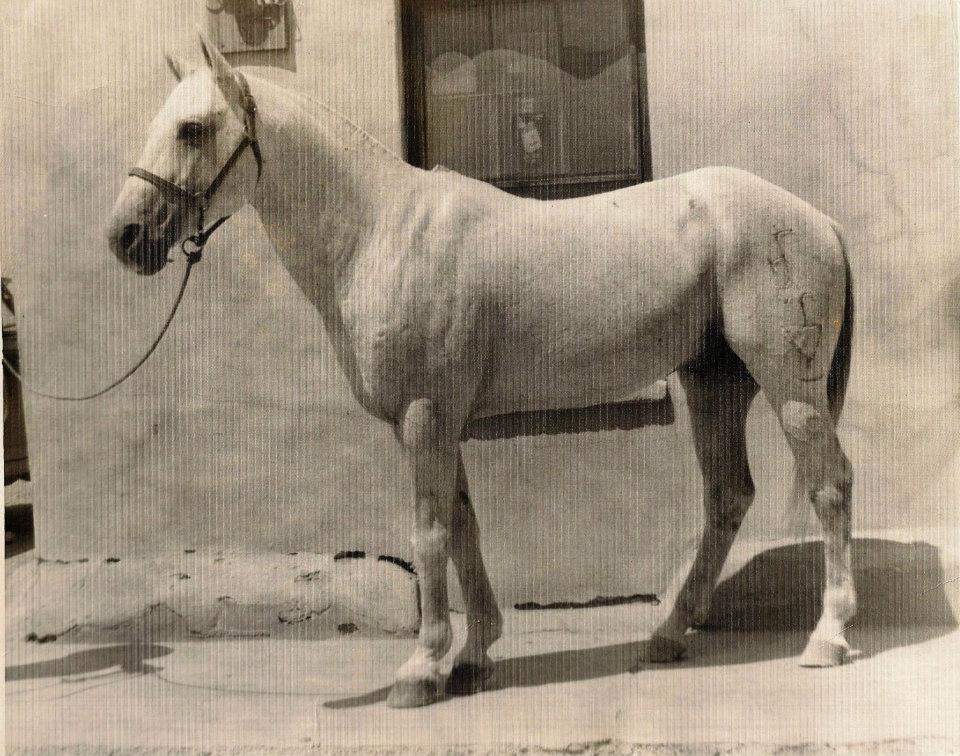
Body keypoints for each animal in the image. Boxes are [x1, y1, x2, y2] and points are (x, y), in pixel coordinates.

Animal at [107, 33, 856, 708]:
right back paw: (667, 635)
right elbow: (464, 527)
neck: (380, 233)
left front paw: (421, 669)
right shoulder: (438, 424)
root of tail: (816, 219)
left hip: (791, 389)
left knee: (829, 486)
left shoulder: (425, 418)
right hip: (710, 384)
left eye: (193, 128)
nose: (125, 238)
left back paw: (828, 637)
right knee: (726, 497)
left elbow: (430, 534)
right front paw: (473, 656)